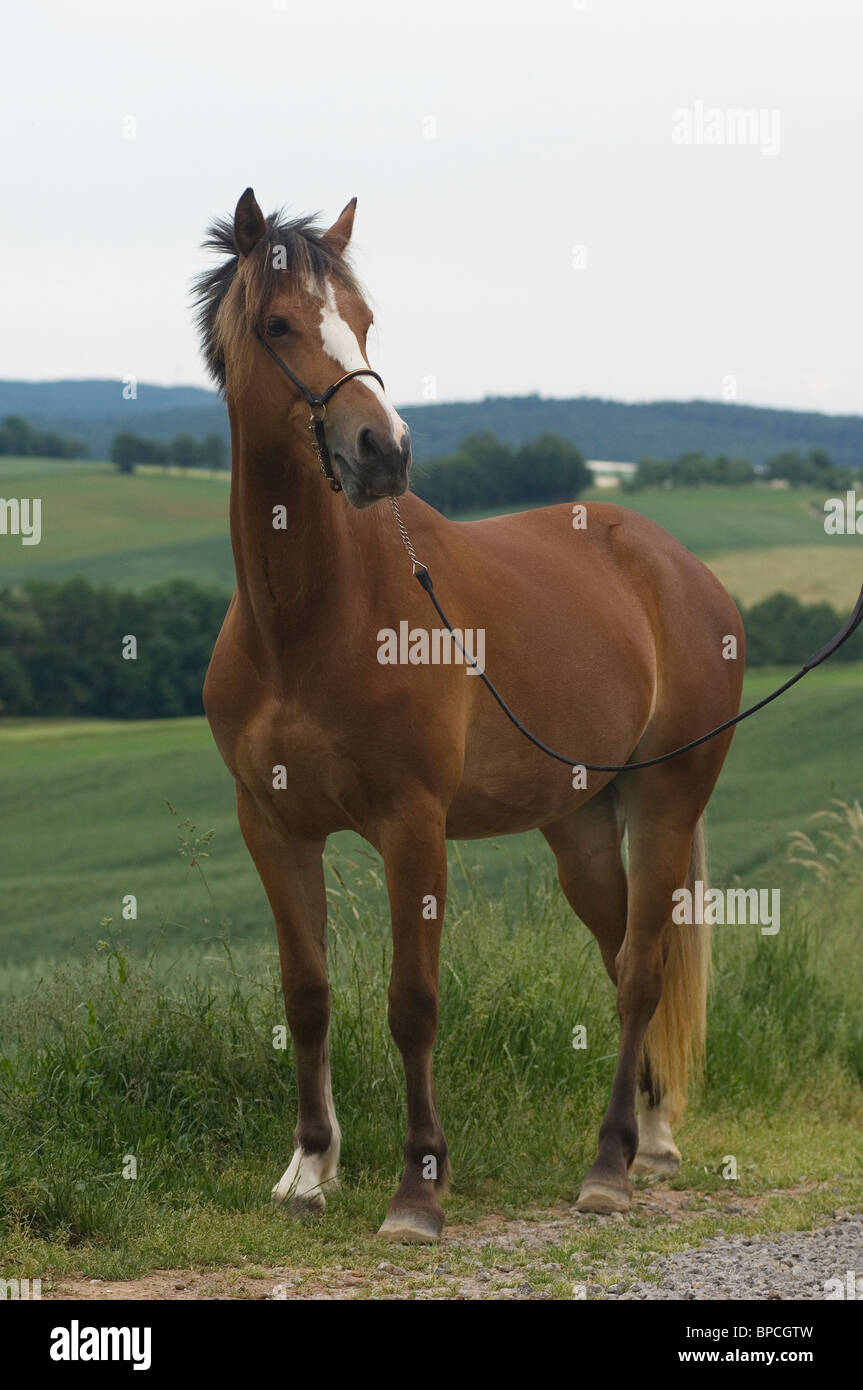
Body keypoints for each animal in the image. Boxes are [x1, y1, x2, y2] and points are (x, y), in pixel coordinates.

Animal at [194, 188, 744, 1242]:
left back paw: (607, 1166)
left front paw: (418, 1189)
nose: (383, 450)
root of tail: (681, 569)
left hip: (664, 804)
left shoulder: (413, 827)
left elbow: (412, 1003)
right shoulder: (271, 827)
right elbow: (307, 994)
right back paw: (649, 1140)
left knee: (640, 971)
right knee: (625, 955)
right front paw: (308, 1171)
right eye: (277, 324)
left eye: (364, 320)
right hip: (580, 825)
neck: (309, 620)